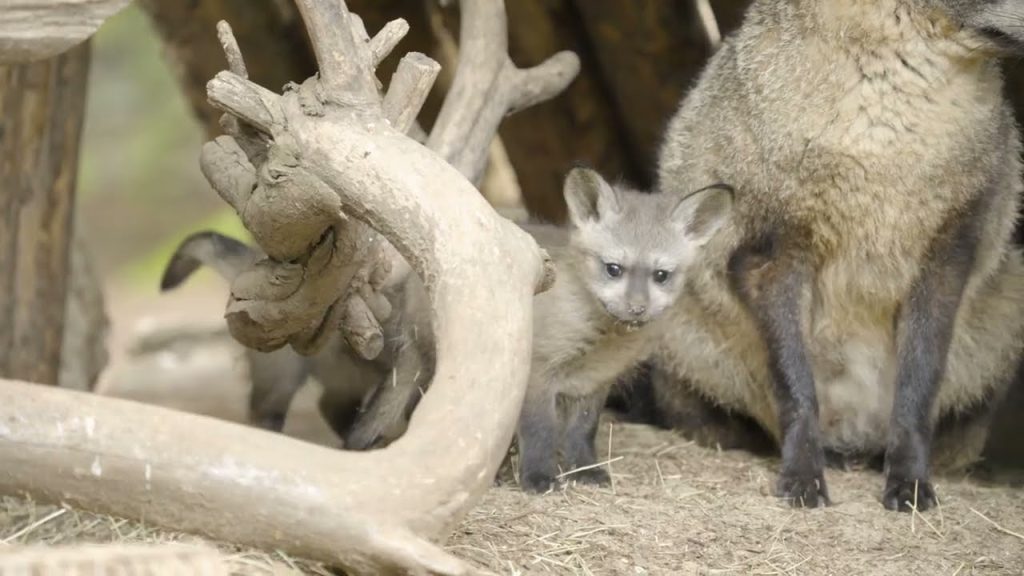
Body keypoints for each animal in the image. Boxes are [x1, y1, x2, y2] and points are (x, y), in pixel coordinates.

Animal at [517, 167, 733, 493]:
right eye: (613, 269)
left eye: (661, 275)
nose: (637, 309)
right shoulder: (538, 372)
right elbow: (539, 429)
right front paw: (538, 477)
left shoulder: (593, 382)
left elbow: (582, 430)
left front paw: (585, 470)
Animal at [653, 0, 1024, 511]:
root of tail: (852, 437)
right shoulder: (770, 256)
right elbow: (796, 390)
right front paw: (803, 478)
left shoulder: (947, 260)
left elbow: (917, 391)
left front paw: (909, 484)